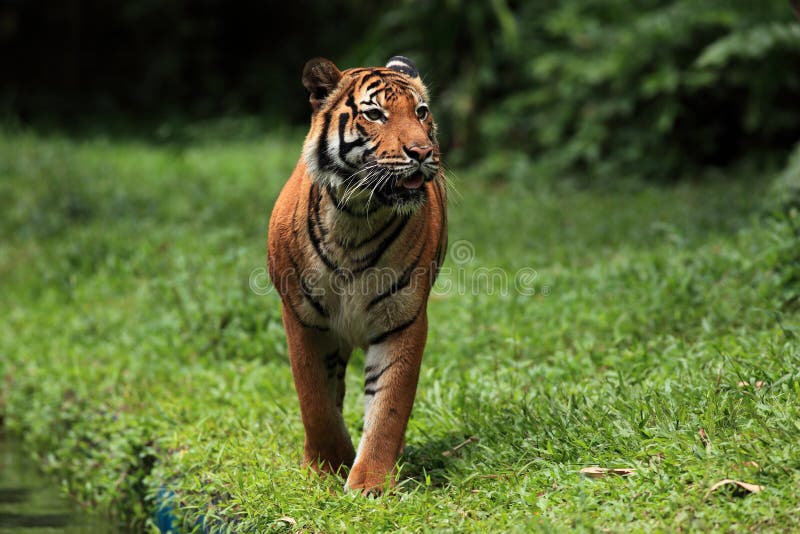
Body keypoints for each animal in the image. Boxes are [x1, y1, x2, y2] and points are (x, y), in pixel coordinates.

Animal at [267, 56, 447, 494]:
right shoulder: (302, 319)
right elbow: (316, 401)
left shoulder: (402, 319)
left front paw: (370, 481)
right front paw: (327, 466)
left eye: (421, 112)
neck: (356, 218)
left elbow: (388, 406)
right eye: (375, 114)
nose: (422, 151)